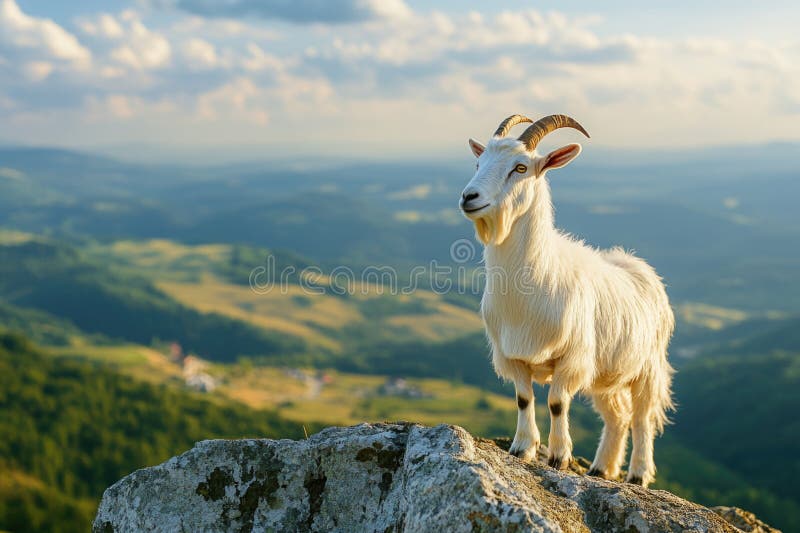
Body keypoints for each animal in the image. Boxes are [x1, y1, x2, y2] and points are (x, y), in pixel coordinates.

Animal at [460, 115, 674, 487]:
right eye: (478, 162)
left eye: (520, 167)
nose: (469, 197)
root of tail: (640, 269)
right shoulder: (512, 355)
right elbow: (524, 398)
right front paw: (522, 448)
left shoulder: (572, 357)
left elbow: (557, 403)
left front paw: (559, 457)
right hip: (606, 374)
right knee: (617, 416)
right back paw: (601, 469)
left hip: (648, 367)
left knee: (642, 418)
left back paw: (637, 475)